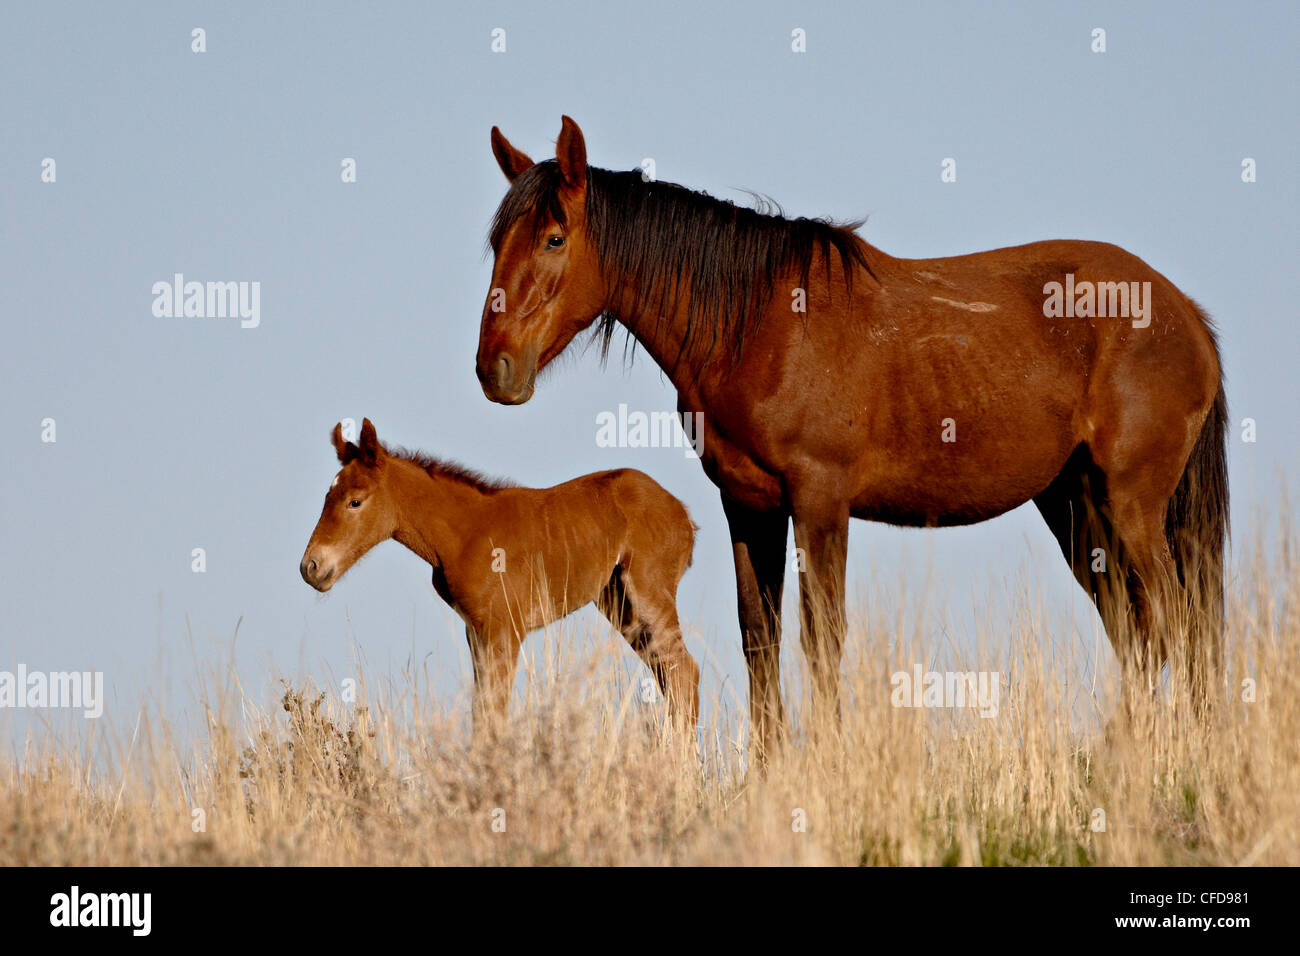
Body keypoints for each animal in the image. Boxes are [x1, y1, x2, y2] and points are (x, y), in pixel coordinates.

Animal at [299, 418, 700, 734]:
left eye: (355, 501)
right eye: (325, 497)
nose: (311, 567)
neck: (466, 535)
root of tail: (683, 513)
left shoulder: (505, 630)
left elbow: (495, 710)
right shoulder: (477, 633)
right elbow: (482, 710)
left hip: (648, 594)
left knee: (684, 672)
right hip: (619, 604)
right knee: (669, 675)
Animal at [474, 116, 1228, 756]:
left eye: (554, 238)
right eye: (496, 242)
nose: (495, 368)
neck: (761, 324)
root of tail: (1184, 314)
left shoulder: (820, 502)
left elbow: (823, 639)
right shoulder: (748, 505)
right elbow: (761, 637)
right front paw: (770, 772)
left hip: (1130, 505)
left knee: (1175, 620)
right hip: (1076, 507)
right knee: (1137, 629)